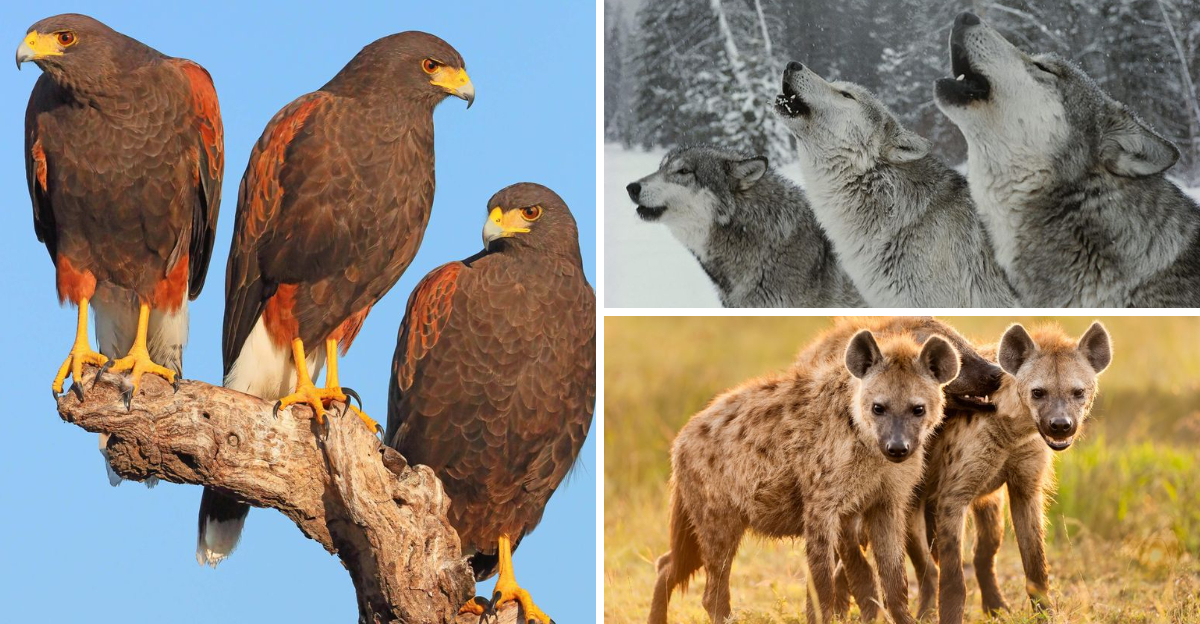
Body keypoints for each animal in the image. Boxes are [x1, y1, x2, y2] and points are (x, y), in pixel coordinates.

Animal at [648, 325, 961, 624]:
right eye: (878, 408)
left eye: (918, 409)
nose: (897, 447)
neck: (867, 450)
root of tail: (681, 439)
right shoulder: (821, 503)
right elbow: (821, 580)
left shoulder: (887, 502)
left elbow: (894, 577)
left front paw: (907, 617)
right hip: (717, 513)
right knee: (712, 587)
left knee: (669, 563)